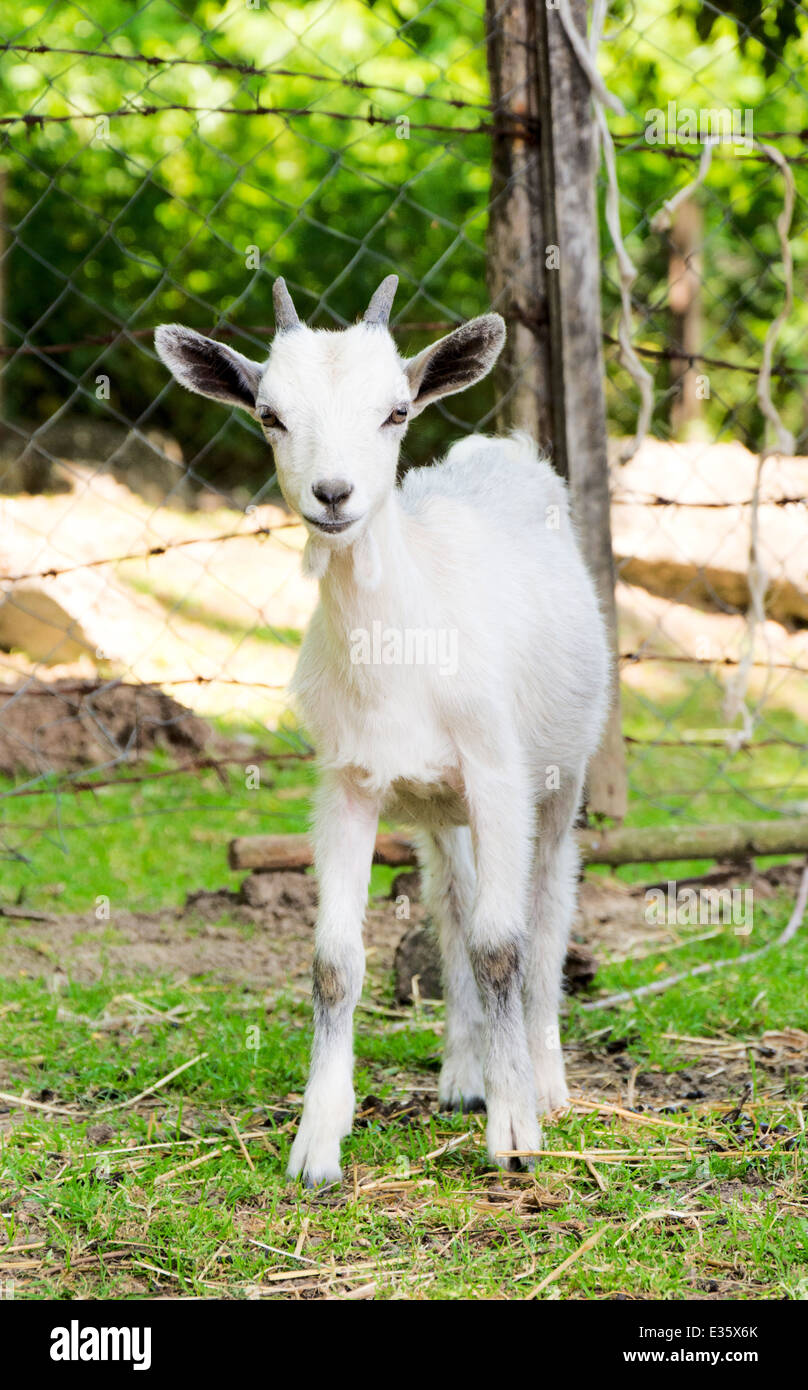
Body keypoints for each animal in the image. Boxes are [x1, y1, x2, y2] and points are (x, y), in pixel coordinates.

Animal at [155, 275, 609, 1186]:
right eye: (270, 414)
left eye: (395, 411)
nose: (333, 495)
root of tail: (502, 448)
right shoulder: (347, 782)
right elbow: (336, 962)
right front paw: (316, 1143)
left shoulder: (499, 773)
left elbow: (503, 944)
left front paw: (514, 1134)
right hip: (440, 809)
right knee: (454, 902)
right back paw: (465, 1073)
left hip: (559, 773)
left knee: (545, 908)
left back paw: (543, 1080)